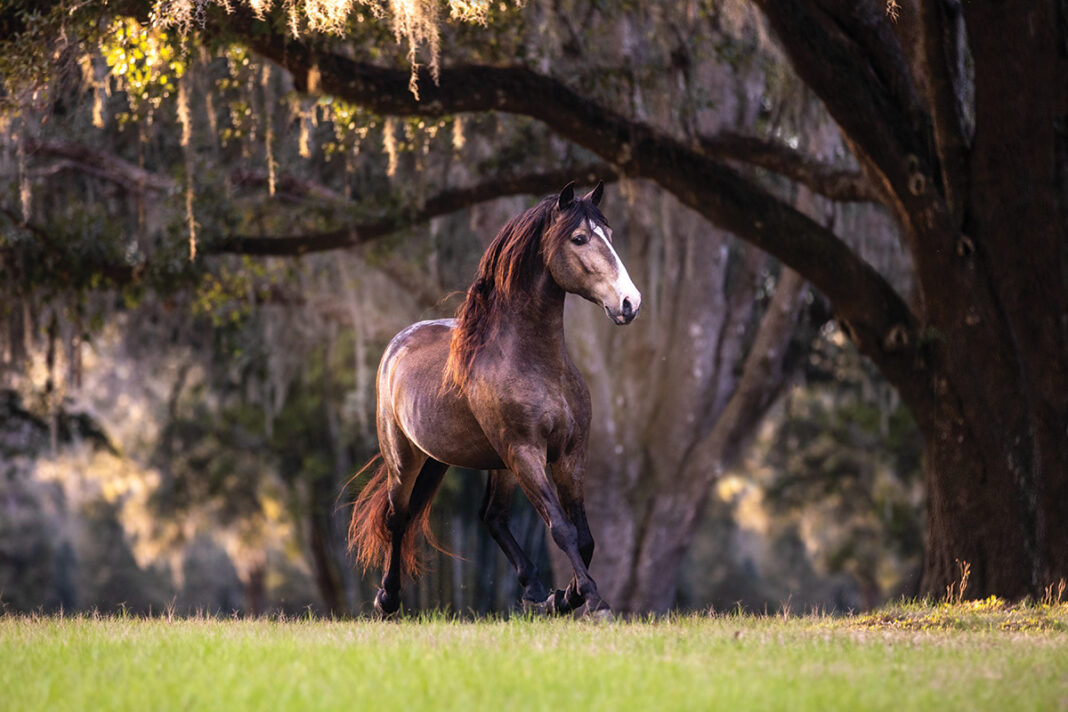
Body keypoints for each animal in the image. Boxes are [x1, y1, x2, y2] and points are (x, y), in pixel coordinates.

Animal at [348, 180, 641, 618]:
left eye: (609, 234)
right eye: (579, 238)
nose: (629, 303)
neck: (534, 361)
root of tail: (397, 345)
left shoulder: (570, 453)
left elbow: (584, 536)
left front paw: (564, 596)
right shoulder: (525, 452)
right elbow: (563, 529)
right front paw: (592, 598)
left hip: (491, 463)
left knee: (493, 517)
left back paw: (536, 590)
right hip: (407, 460)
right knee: (398, 517)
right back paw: (388, 598)